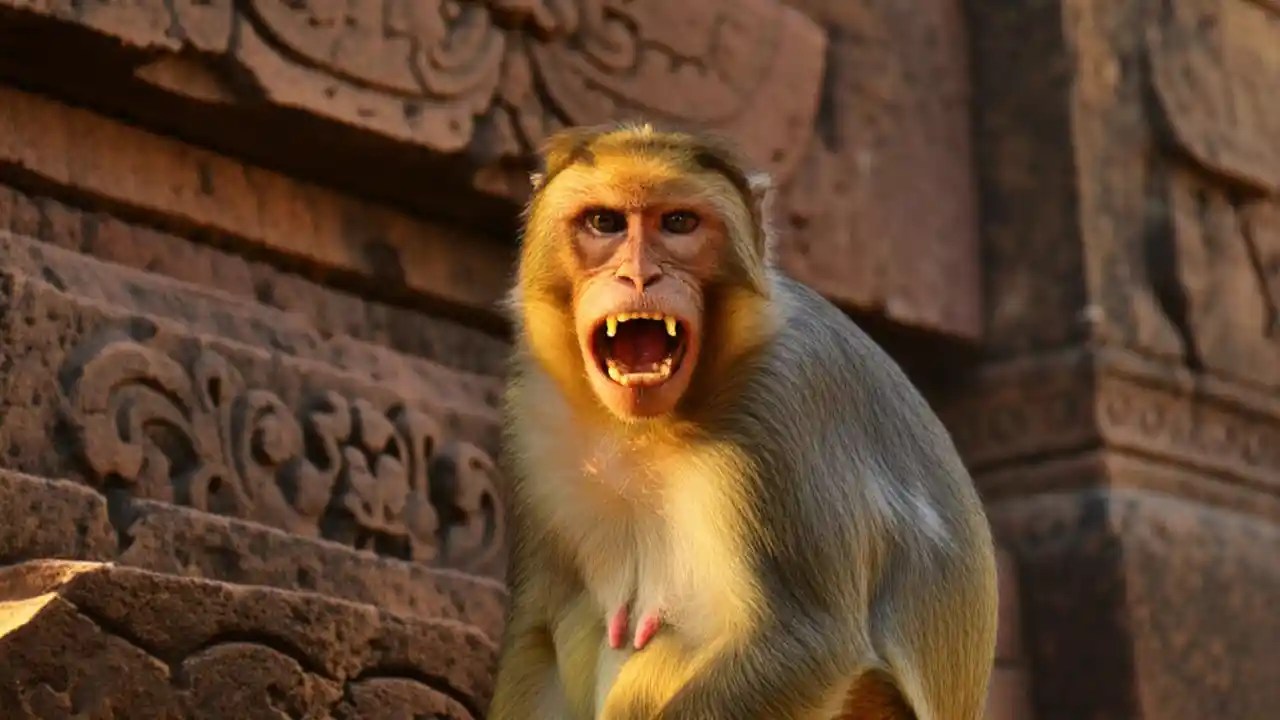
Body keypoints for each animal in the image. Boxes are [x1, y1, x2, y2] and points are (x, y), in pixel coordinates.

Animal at [487, 122, 999, 720]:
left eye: (678, 223)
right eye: (604, 223)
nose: (639, 274)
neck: (648, 429)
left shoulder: (782, 399)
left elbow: (805, 643)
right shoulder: (533, 419)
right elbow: (538, 632)